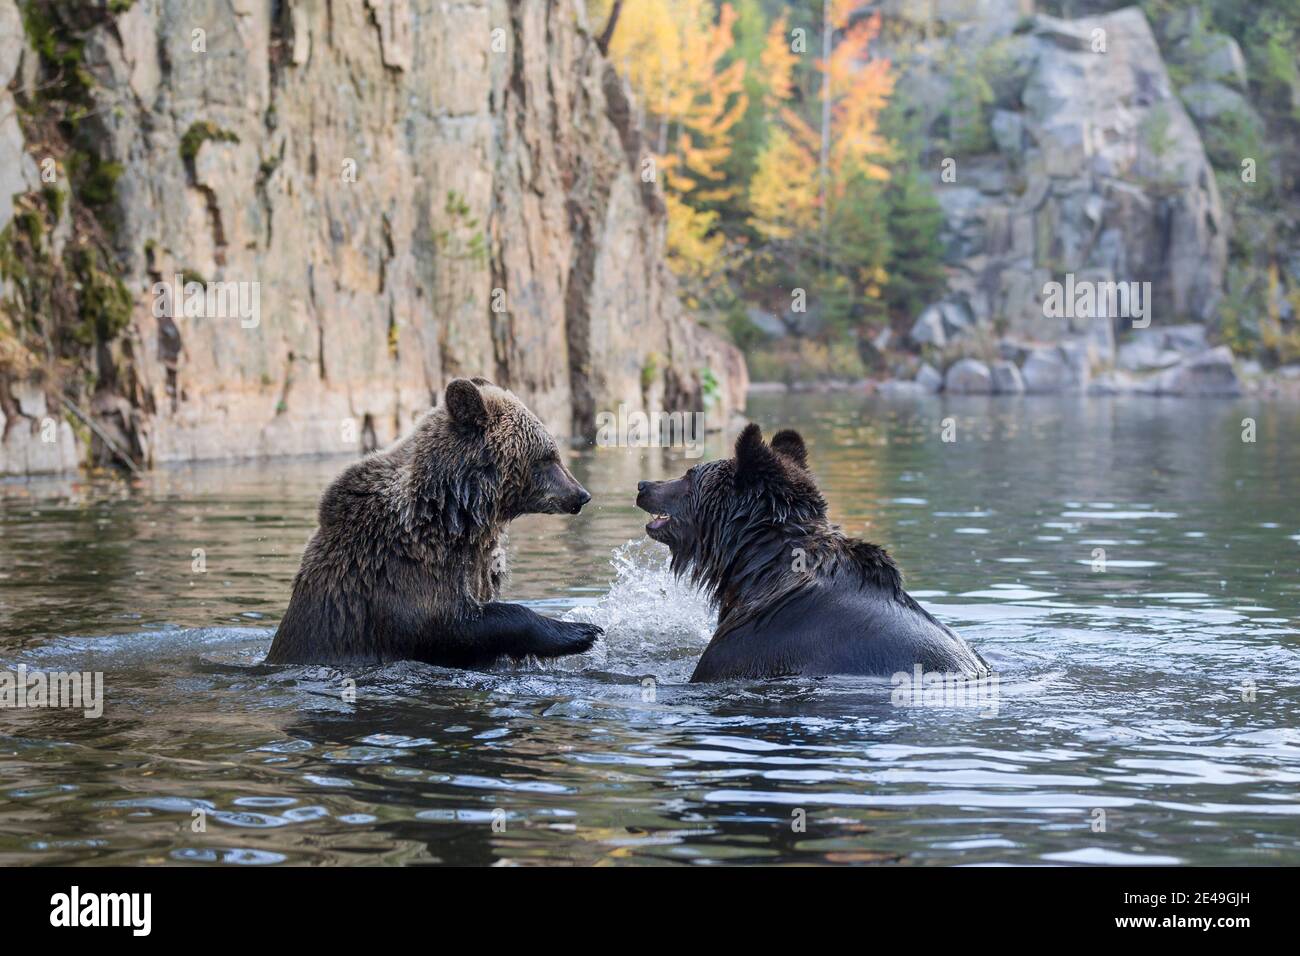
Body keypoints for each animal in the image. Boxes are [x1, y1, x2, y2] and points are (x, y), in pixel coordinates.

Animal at [265, 378, 603, 667]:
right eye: (547, 457)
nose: (581, 494)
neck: (453, 513)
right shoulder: (404, 569)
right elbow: (453, 625)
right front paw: (580, 631)